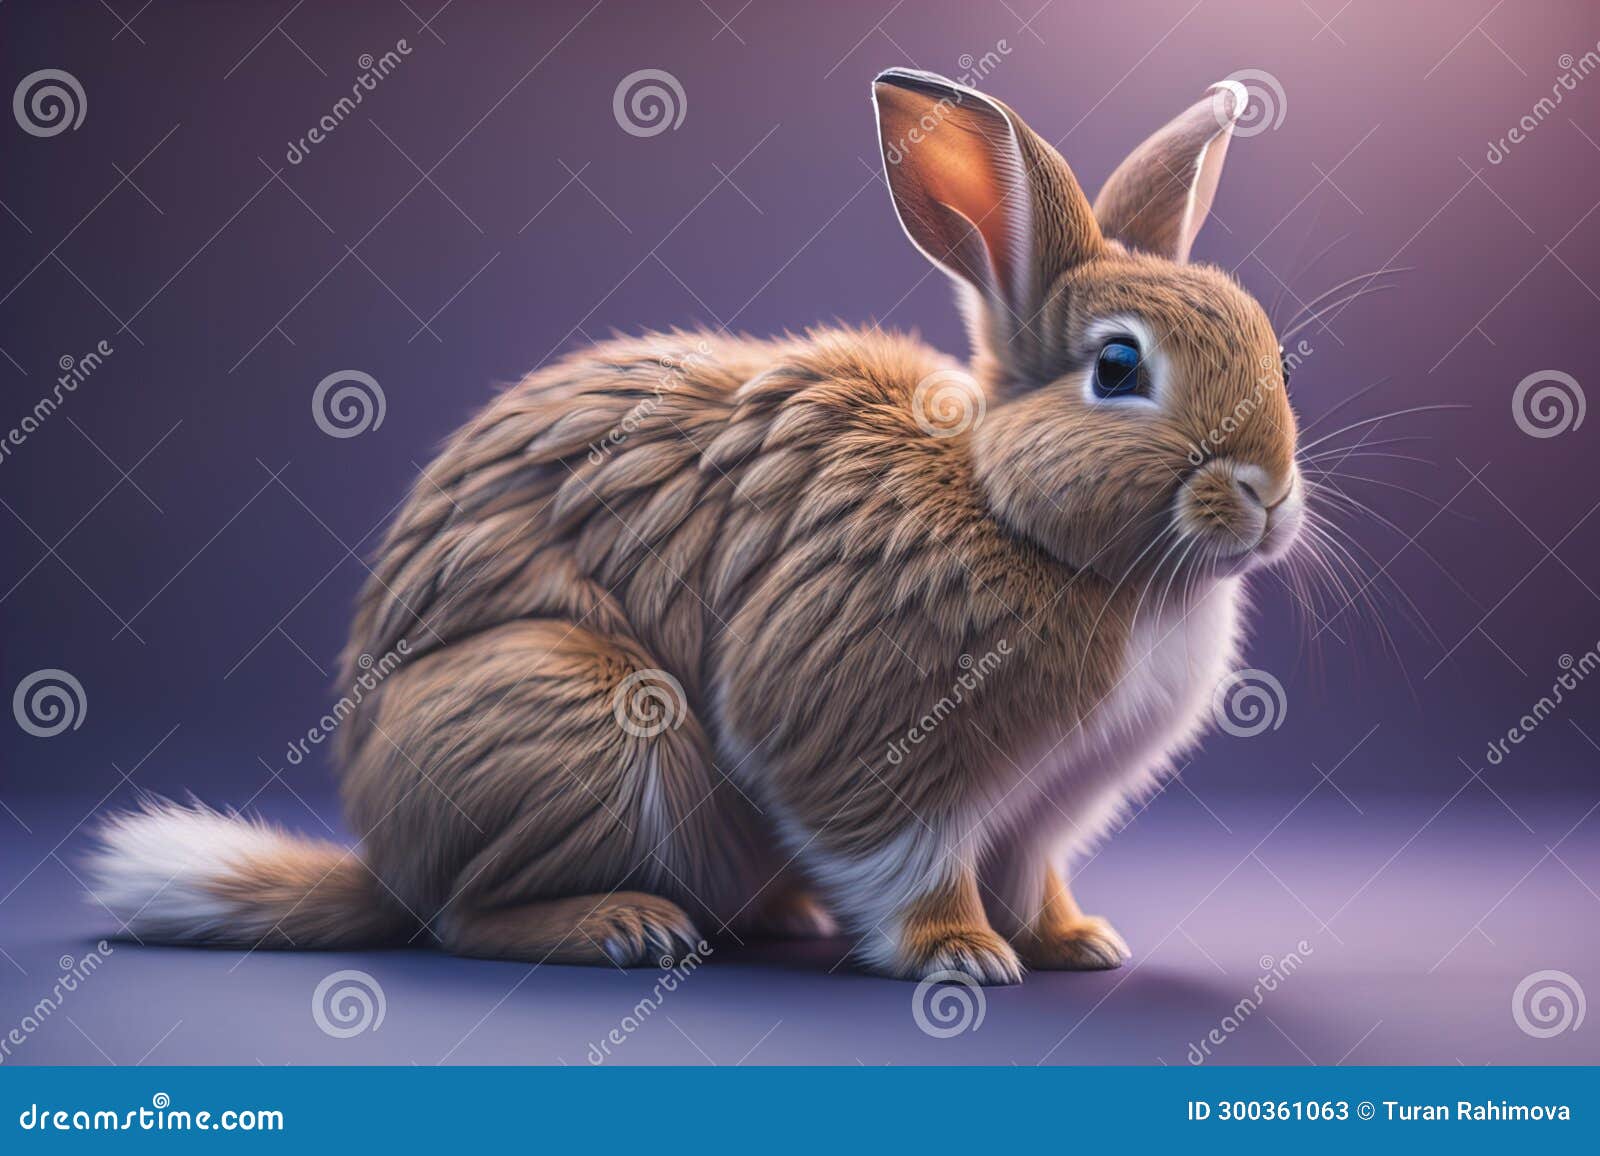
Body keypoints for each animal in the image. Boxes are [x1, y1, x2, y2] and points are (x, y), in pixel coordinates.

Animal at [88, 69, 1303, 984]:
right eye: (1117, 368)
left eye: (1274, 350)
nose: (1268, 492)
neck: (1012, 512)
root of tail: (380, 853)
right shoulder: (858, 738)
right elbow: (905, 859)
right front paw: (960, 955)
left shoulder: (1040, 813)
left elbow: (1031, 873)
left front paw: (1074, 943)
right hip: (580, 719)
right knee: (460, 918)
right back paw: (624, 927)